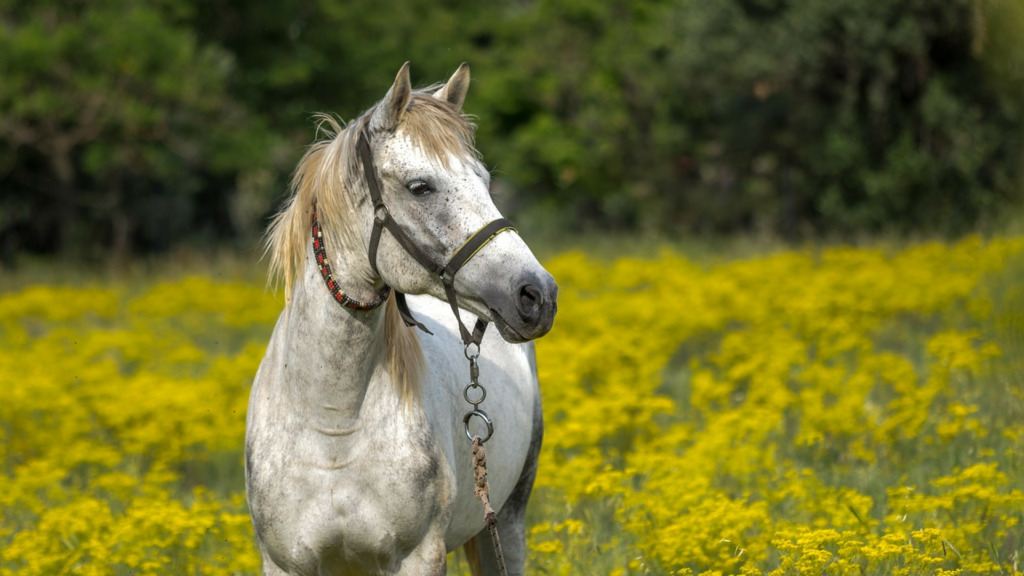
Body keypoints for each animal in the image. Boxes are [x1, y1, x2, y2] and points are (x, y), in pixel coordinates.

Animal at [245, 62, 558, 576]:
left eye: (484, 180)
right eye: (420, 187)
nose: (538, 295)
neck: (334, 427)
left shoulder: (418, 556)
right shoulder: (285, 563)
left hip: (509, 520)